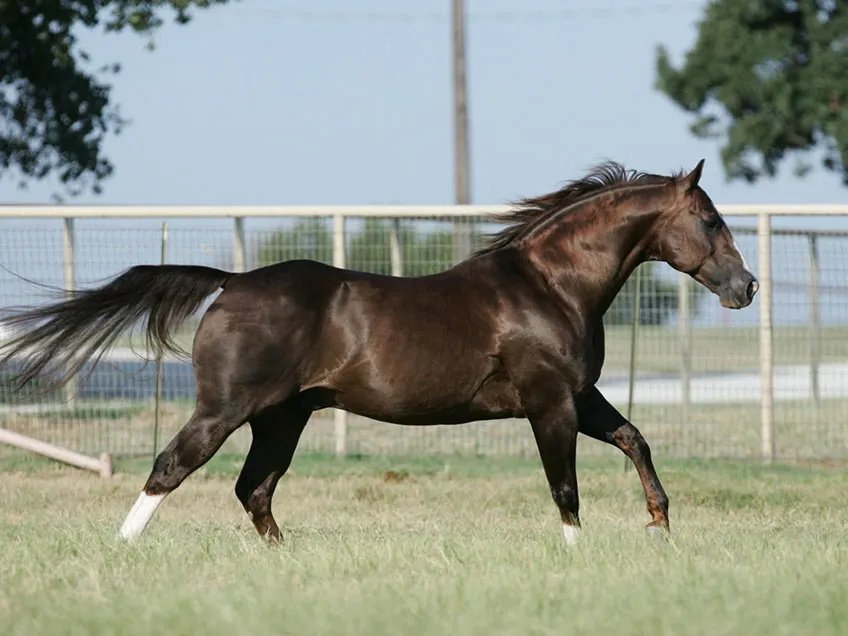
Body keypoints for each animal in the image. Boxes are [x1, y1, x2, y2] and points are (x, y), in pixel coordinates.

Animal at [0, 159, 758, 546]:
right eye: (710, 220)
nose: (746, 287)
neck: (550, 284)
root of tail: (232, 281)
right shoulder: (550, 405)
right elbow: (565, 488)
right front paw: (581, 554)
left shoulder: (580, 395)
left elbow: (635, 437)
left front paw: (660, 523)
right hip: (226, 409)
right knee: (171, 469)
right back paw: (123, 551)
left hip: (283, 417)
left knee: (255, 489)